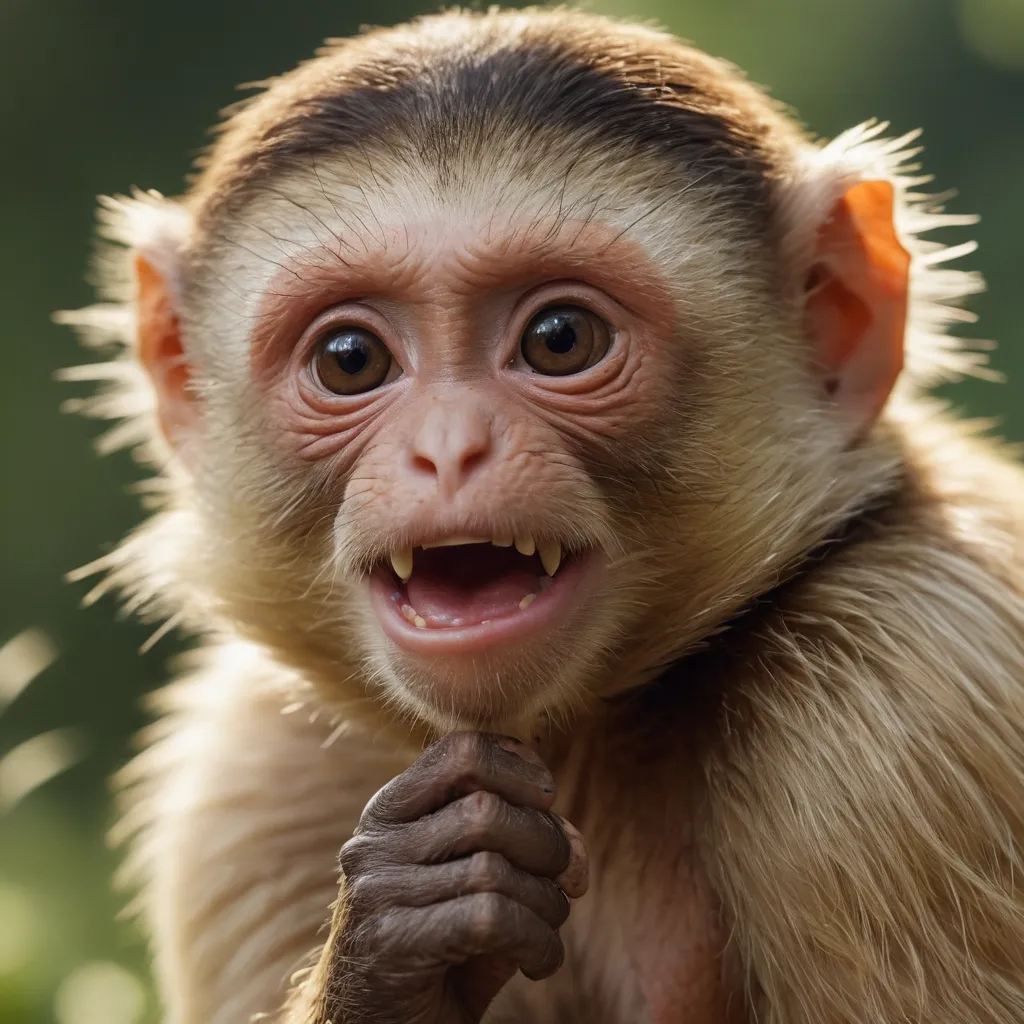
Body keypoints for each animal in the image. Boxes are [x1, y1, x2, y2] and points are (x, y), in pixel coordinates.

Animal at [59, 7, 1024, 1024]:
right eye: (351, 359)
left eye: (561, 339)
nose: (450, 448)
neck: (584, 738)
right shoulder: (250, 780)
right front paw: (404, 938)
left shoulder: (906, 699)